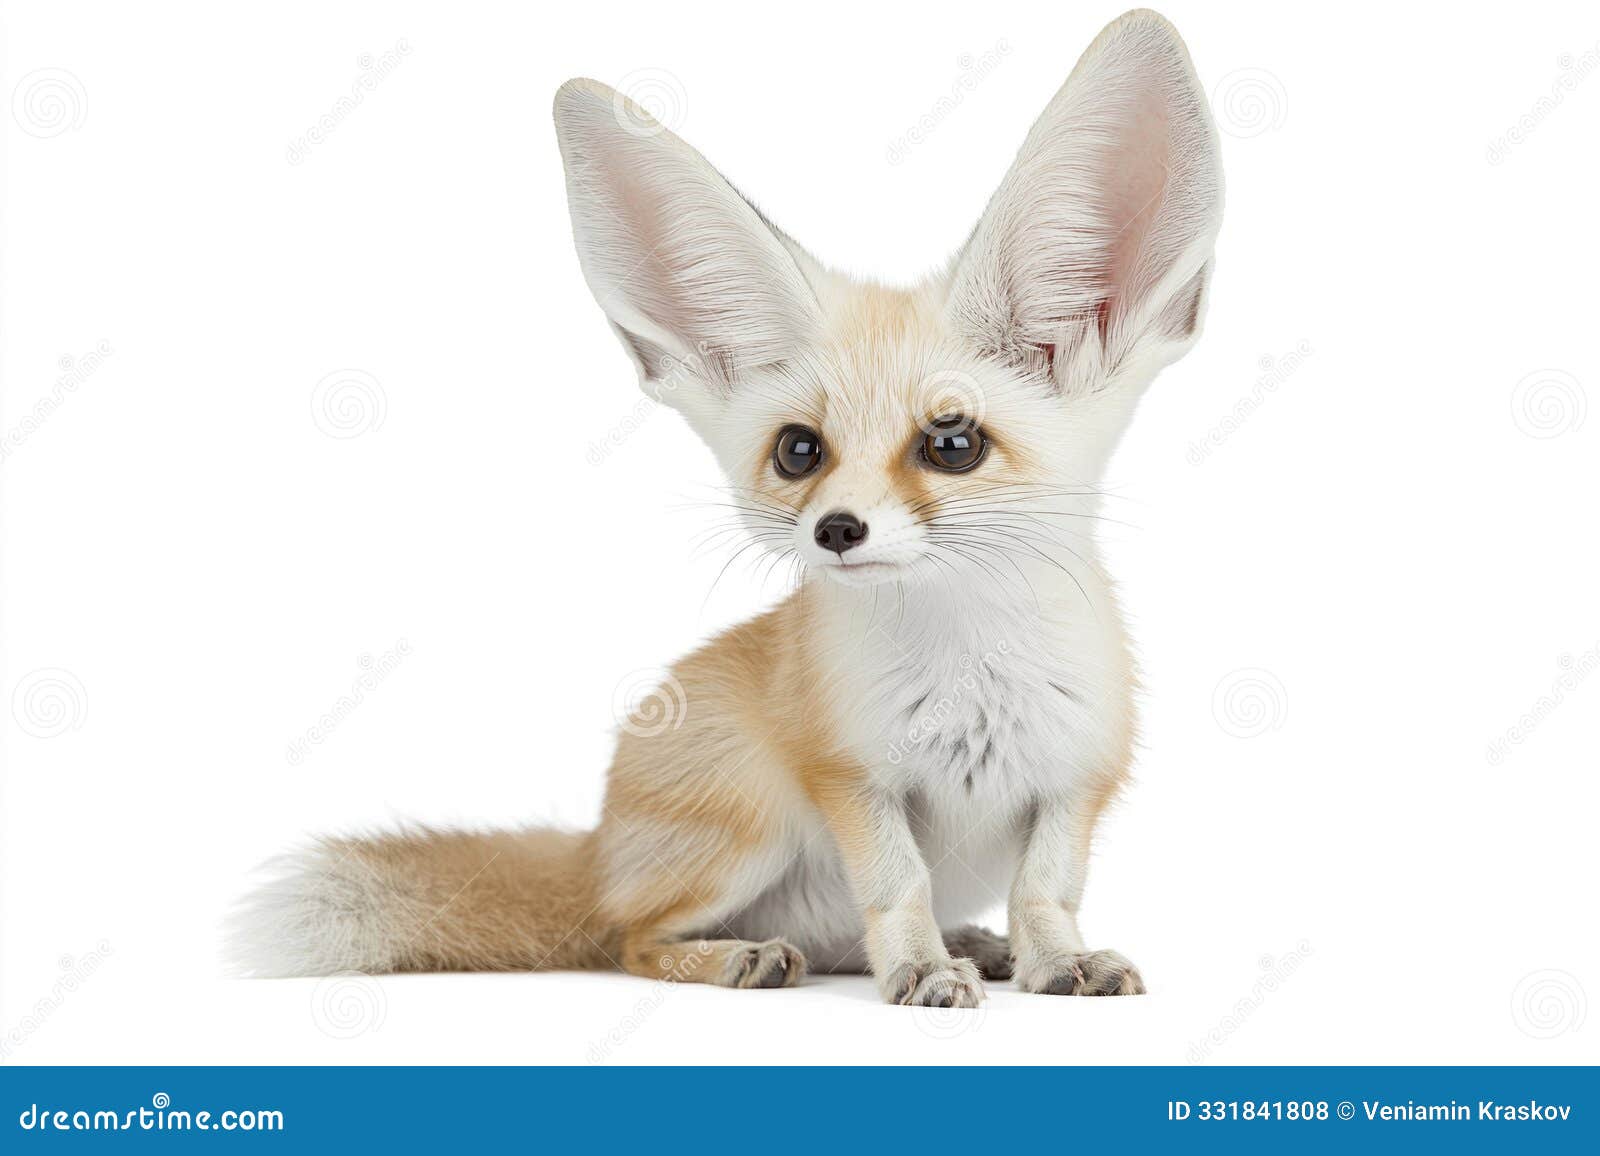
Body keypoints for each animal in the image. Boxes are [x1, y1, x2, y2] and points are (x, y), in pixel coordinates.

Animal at [230, 9, 1223, 1008]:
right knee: (629, 940)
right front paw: (917, 972)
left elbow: (1045, 892)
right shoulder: (849, 777)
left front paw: (1053, 960)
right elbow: (897, 886)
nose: (836, 531)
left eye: (953, 444)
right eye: (799, 452)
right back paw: (740, 956)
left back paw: (971, 943)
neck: (970, 680)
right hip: (749, 826)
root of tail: (596, 850)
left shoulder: (1076, 779)